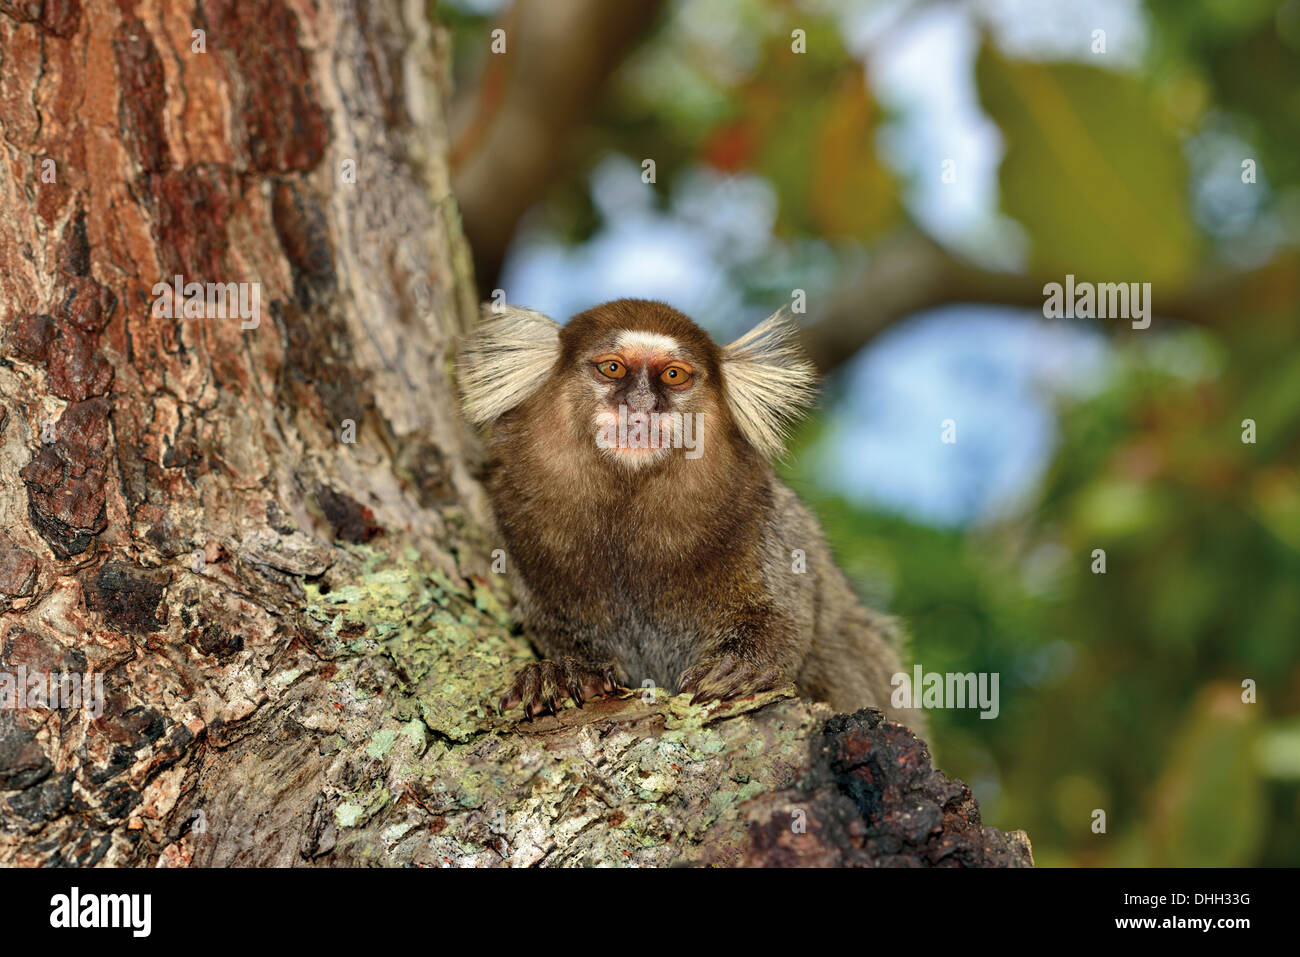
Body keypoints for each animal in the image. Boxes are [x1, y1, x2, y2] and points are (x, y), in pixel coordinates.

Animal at [459, 298, 914, 726]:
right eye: (612, 368)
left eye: (673, 375)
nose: (641, 404)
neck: (627, 507)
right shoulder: (517, 522)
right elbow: (552, 626)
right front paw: (566, 671)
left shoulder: (763, 517)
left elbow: (789, 620)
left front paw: (740, 667)